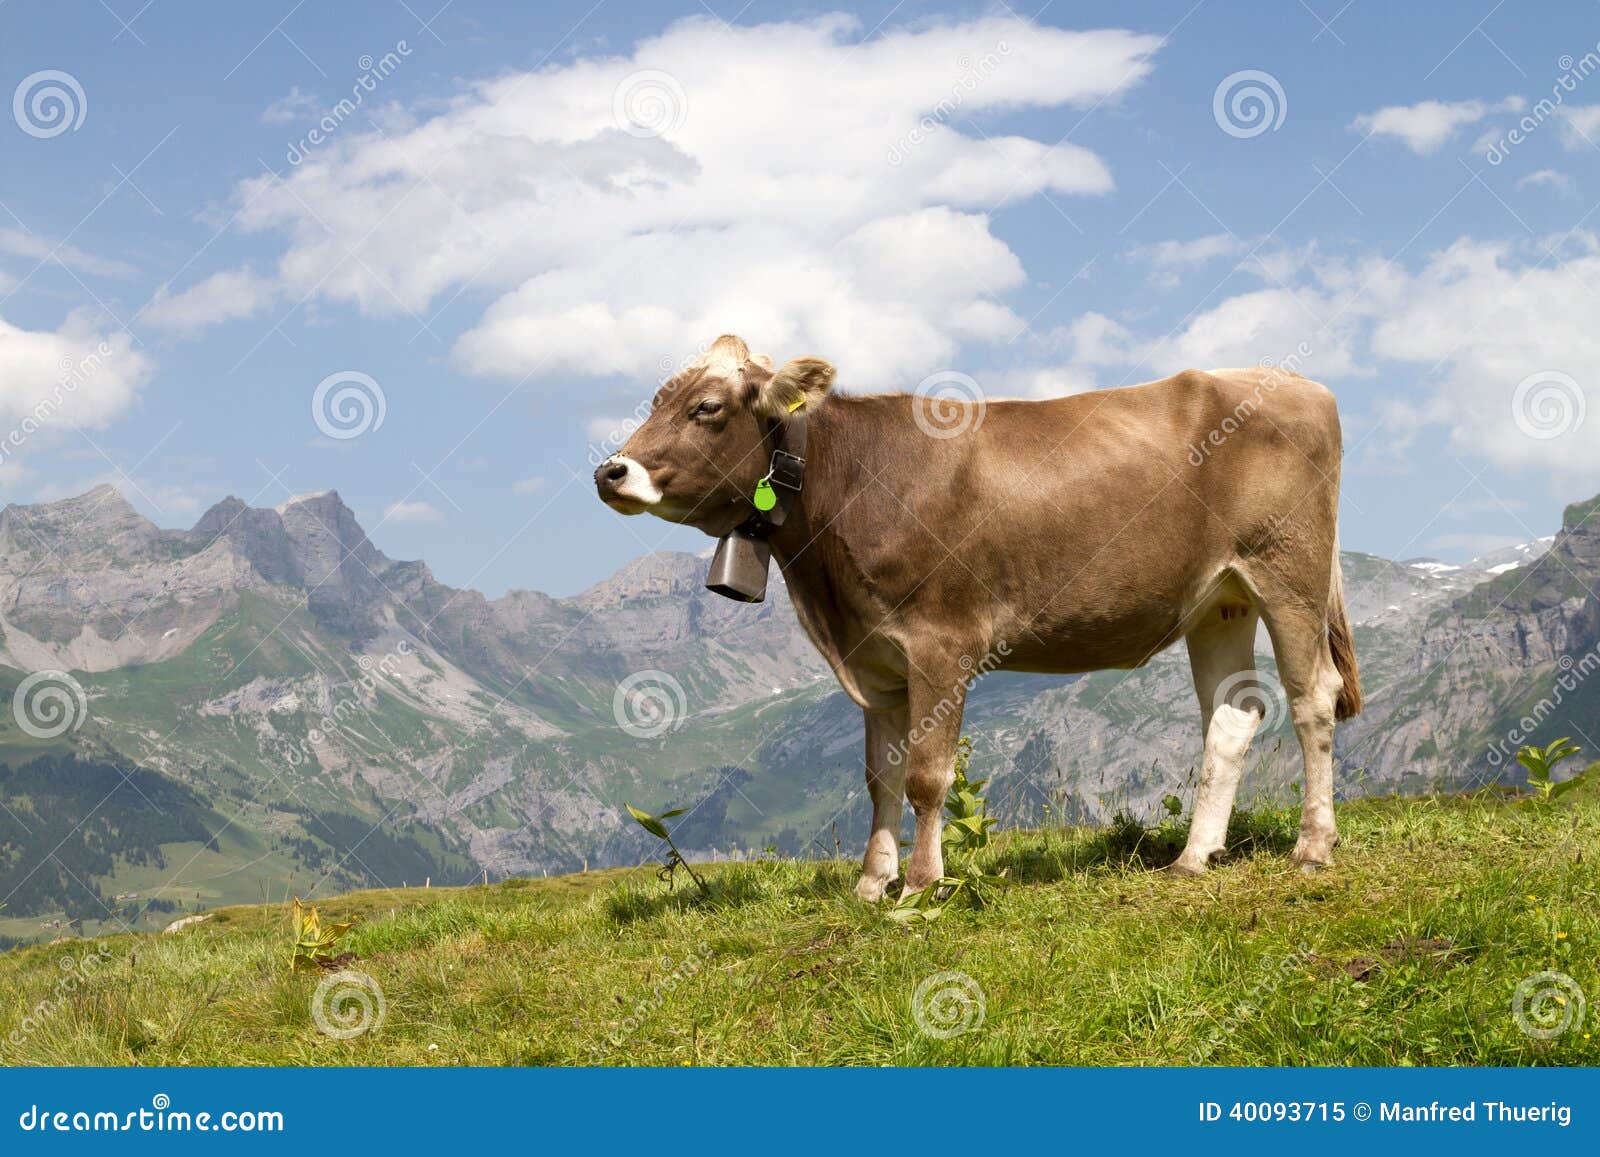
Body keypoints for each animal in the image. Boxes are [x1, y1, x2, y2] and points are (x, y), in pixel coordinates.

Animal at [595, 335, 1361, 901]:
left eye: (706, 407)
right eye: (659, 398)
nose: (611, 471)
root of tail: (1300, 384)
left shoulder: (942, 641)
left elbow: (926, 775)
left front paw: (921, 885)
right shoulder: (875, 660)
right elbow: (879, 776)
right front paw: (870, 884)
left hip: (1288, 569)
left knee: (1312, 697)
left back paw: (1313, 845)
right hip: (1220, 598)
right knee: (1233, 713)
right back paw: (1194, 856)